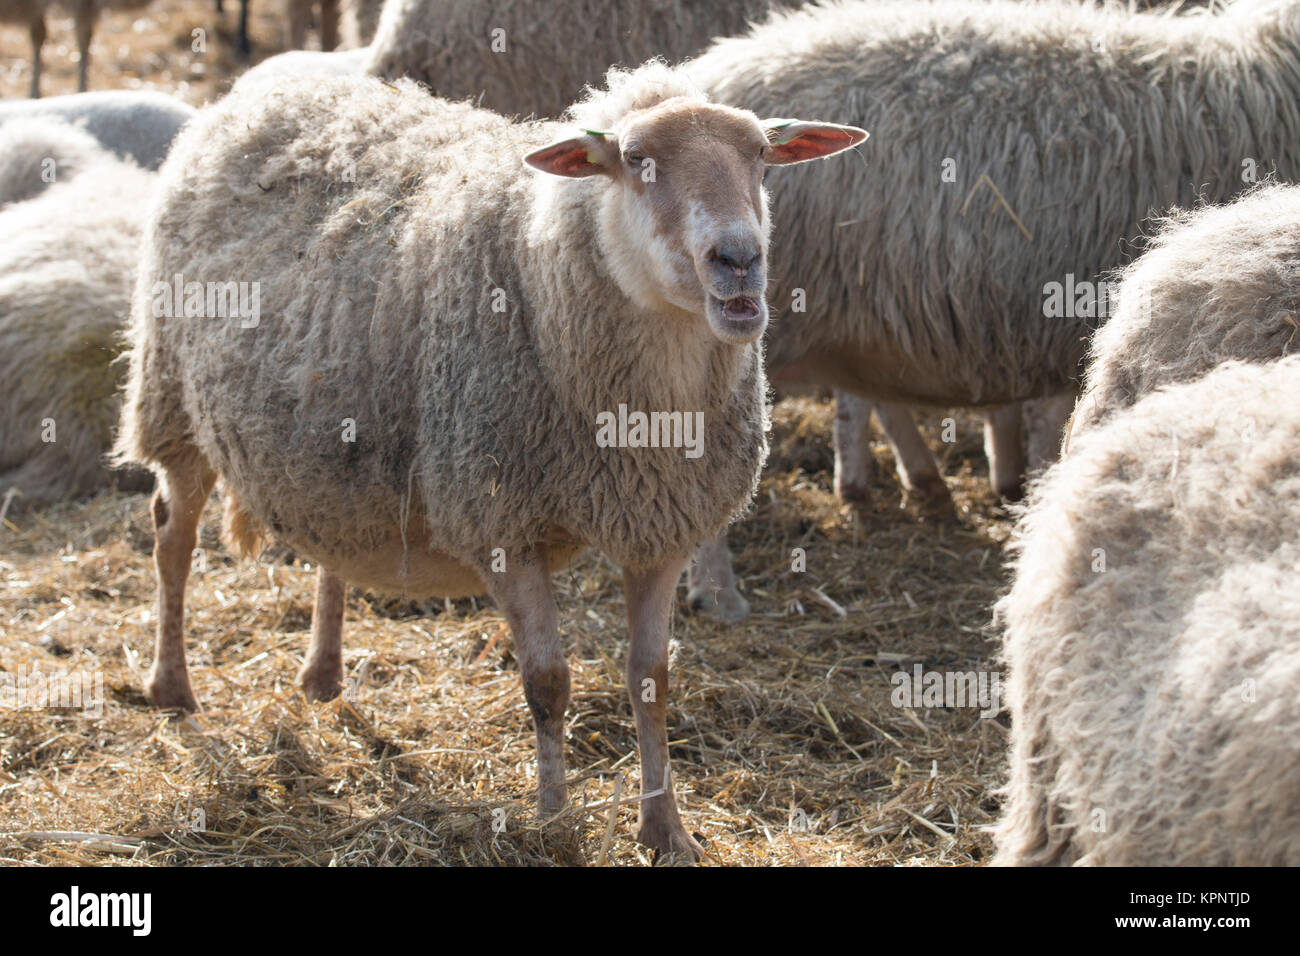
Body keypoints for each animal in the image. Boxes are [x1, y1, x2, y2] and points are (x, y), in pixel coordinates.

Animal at [112, 65, 864, 857]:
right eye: (635, 159)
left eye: (761, 156)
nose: (739, 260)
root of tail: (265, 80)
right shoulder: (503, 524)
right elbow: (548, 683)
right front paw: (555, 822)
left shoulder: (660, 526)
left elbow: (651, 679)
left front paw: (665, 831)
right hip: (170, 395)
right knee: (172, 537)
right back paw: (172, 689)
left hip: (332, 435)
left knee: (327, 548)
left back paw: (322, 677)